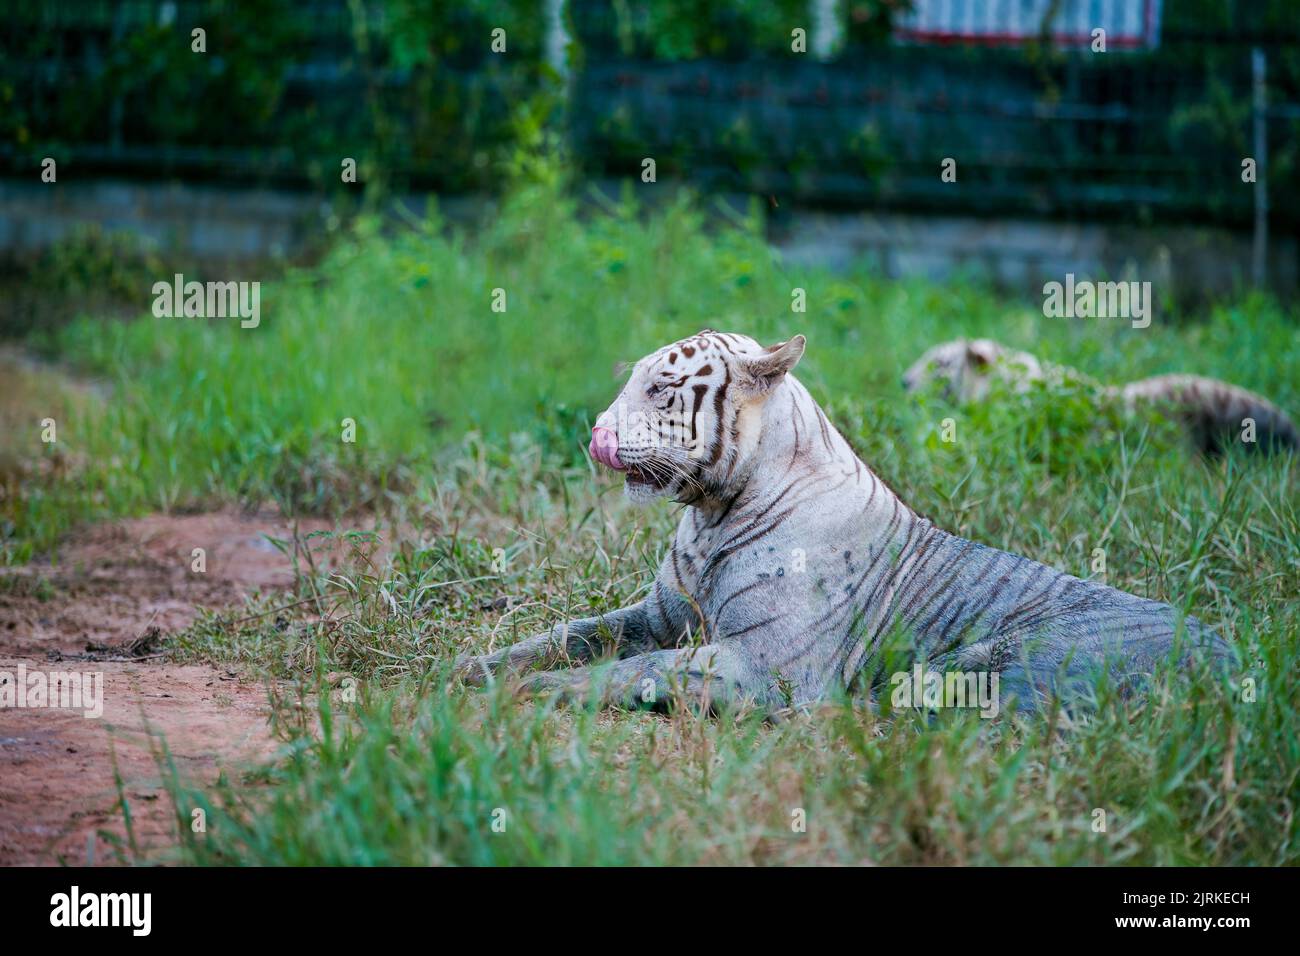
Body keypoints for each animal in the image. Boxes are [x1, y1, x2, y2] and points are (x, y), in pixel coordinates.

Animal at [454, 330, 1232, 716]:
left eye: (662, 387)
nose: (595, 434)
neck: (711, 512)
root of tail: (1238, 658)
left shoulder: (761, 660)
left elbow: (634, 670)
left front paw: (531, 695)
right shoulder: (658, 615)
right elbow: (567, 637)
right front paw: (472, 669)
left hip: (982, 663)